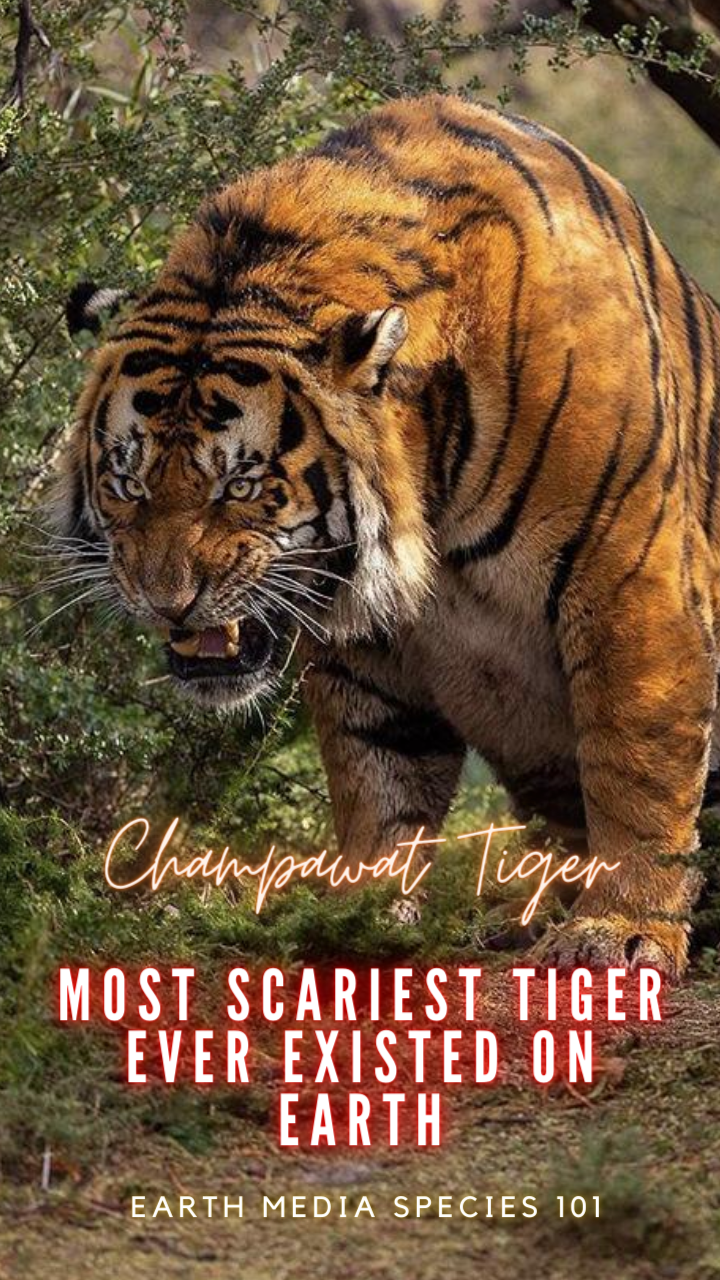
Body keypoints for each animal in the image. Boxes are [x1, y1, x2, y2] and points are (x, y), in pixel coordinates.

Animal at [54, 93, 720, 978]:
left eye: (239, 486)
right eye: (127, 482)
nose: (166, 603)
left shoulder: (629, 579)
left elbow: (636, 765)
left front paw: (620, 932)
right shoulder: (369, 640)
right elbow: (378, 777)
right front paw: (361, 916)